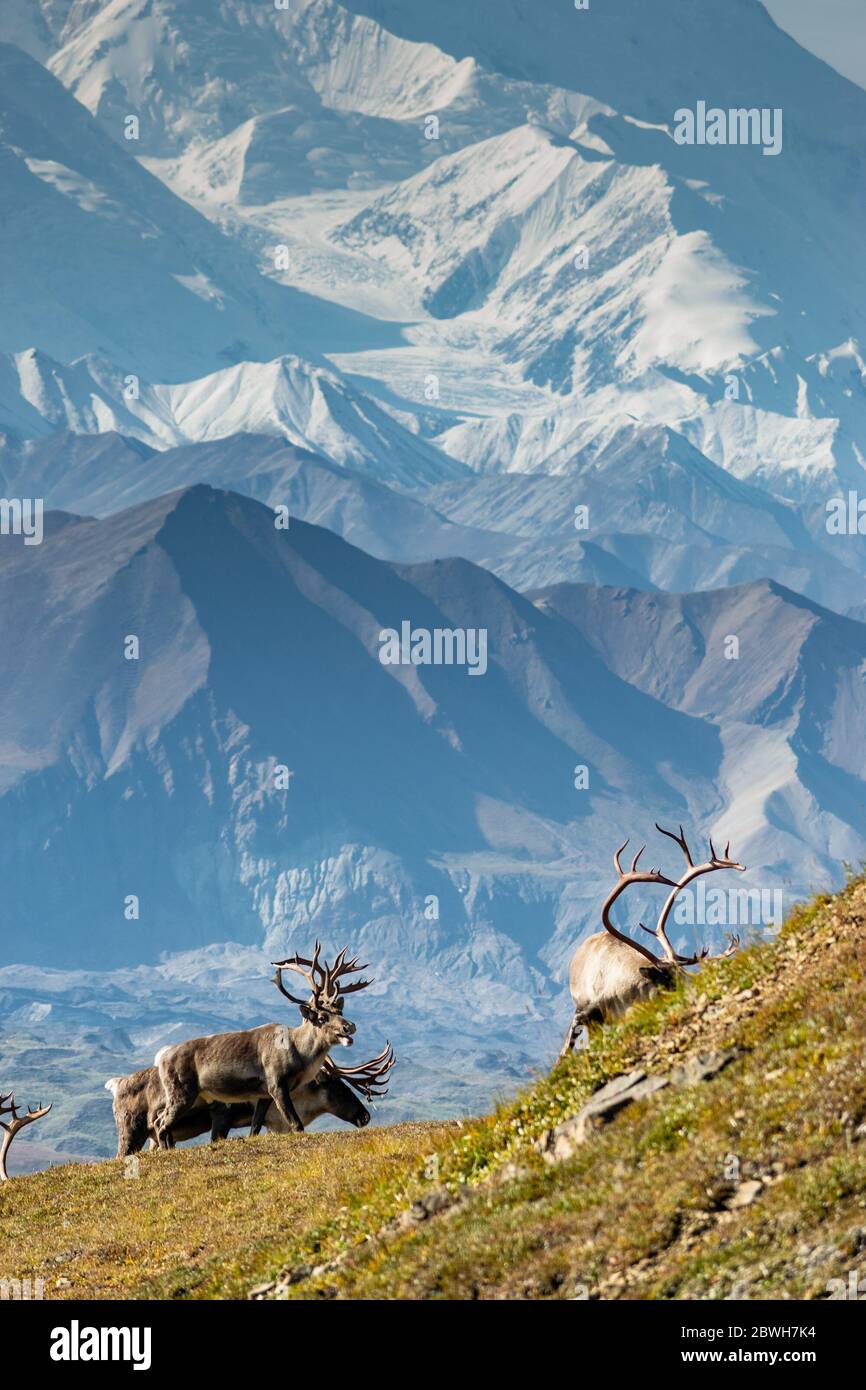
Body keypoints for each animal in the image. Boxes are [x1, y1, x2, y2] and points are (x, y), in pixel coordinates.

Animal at [106, 1043, 396, 1157]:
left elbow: (254, 1128)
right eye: (337, 1086)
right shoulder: (222, 1114)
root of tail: (116, 1085)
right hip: (131, 1133)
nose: (365, 1116)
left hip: (150, 1139)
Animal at [152, 943, 370, 1148]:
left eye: (339, 1010)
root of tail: (161, 1057)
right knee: (160, 1123)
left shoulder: (264, 1095)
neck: (300, 1053)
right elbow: (296, 1125)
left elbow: (255, 1128)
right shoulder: (277, 1085)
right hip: (182, 1092)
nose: (349, 1026)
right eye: (323, 1017)